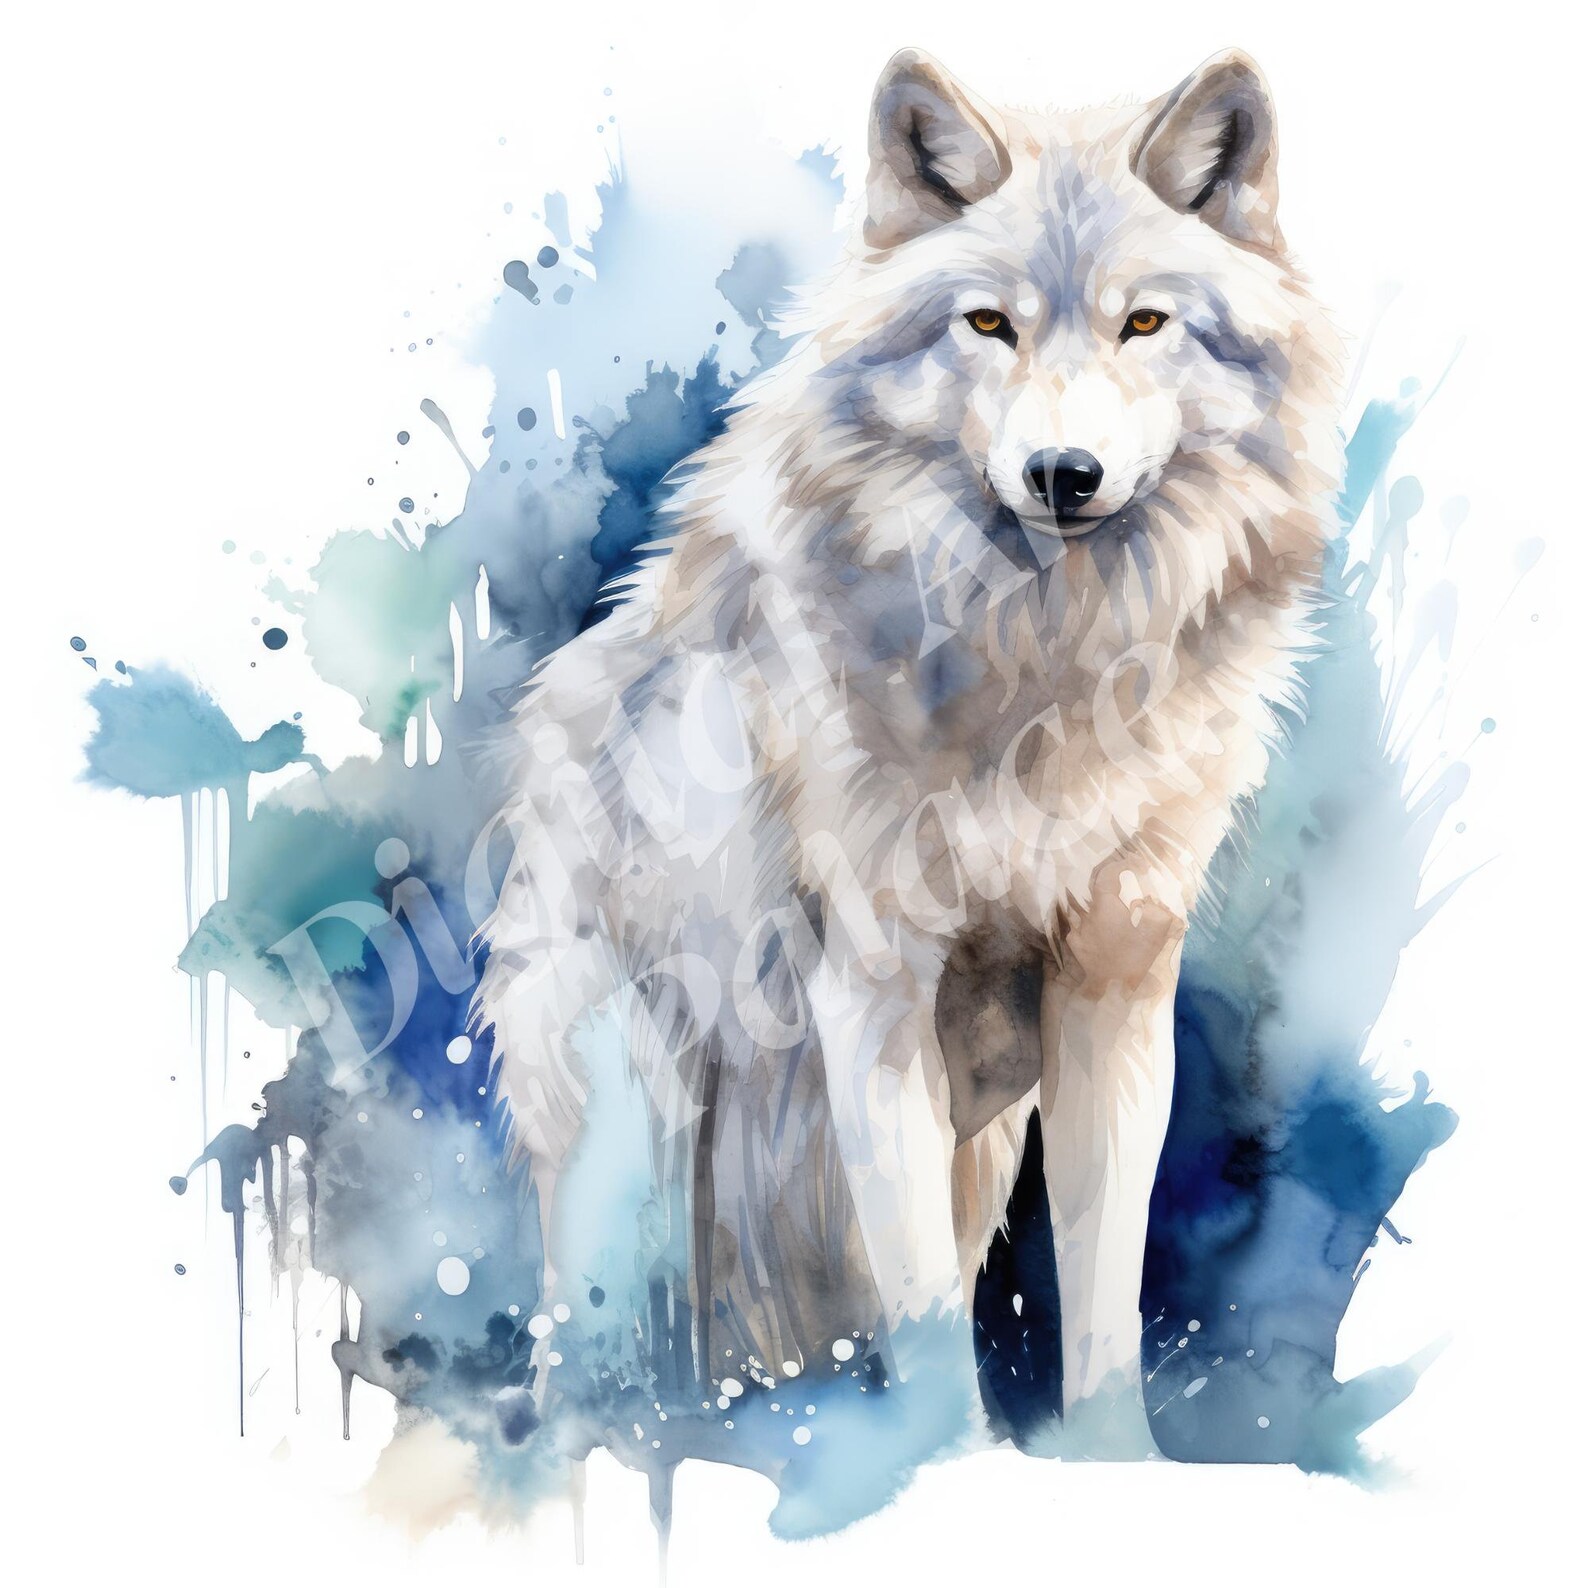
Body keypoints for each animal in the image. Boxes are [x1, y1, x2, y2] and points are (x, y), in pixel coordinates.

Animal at [476, 46, 1344, 1424]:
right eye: (987, 324)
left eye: (1144, 324)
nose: (1061, 474)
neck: (1043, 665)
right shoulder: (871, 991)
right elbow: (931, 1318)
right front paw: (943, 1460)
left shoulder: (1113, 983)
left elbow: (1102, 1294)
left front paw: (1110, 1457)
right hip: (649, 1122)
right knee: (609, 1349)